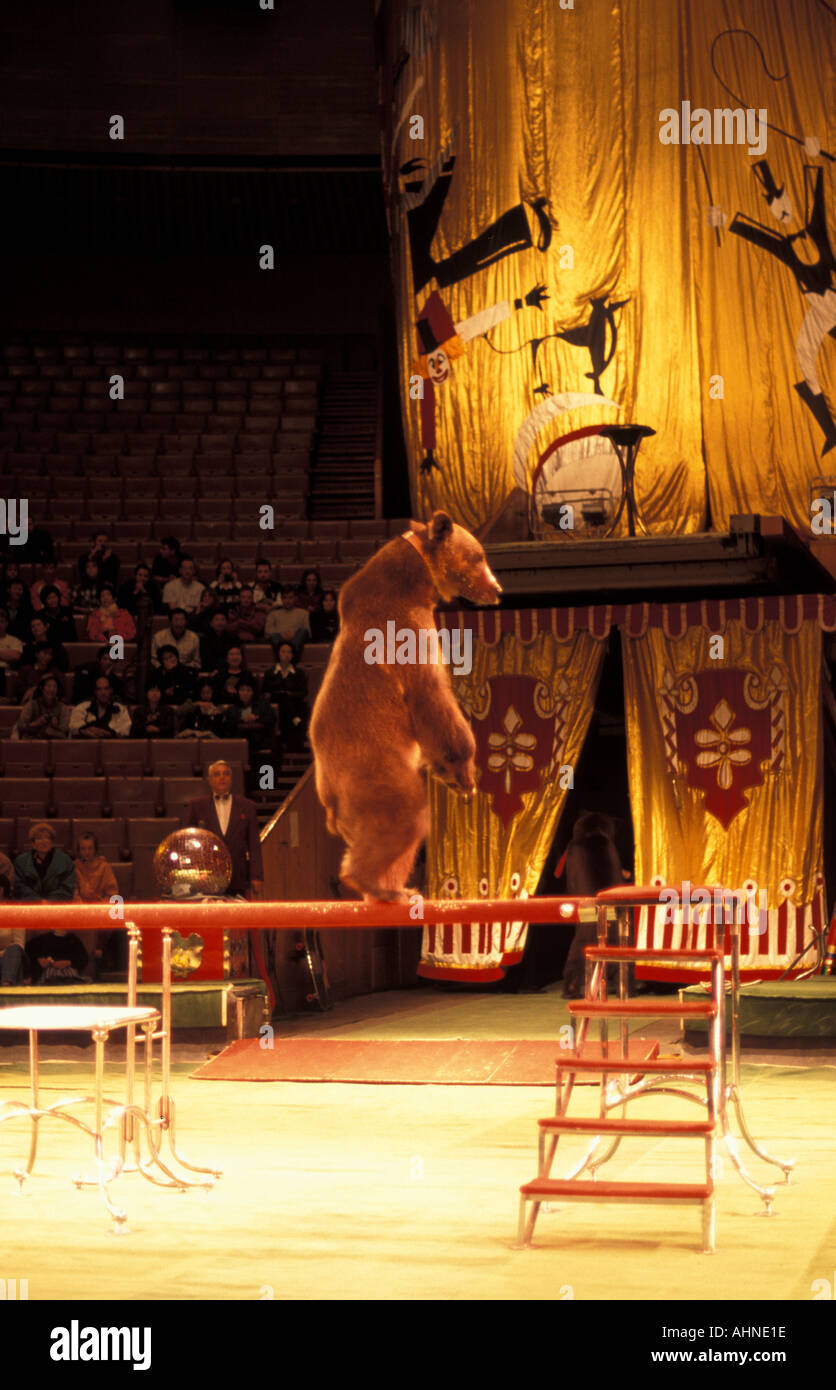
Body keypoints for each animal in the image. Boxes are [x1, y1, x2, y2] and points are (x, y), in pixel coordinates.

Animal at [309, 510, 502, 902]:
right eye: (479, 557)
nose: (497, 588)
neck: (416, 579)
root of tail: (332, 805)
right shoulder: (408, 633)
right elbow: (433, 700)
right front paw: (463, 773)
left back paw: (394, 887)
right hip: (379, 774)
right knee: (405, 817)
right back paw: (374, 884)